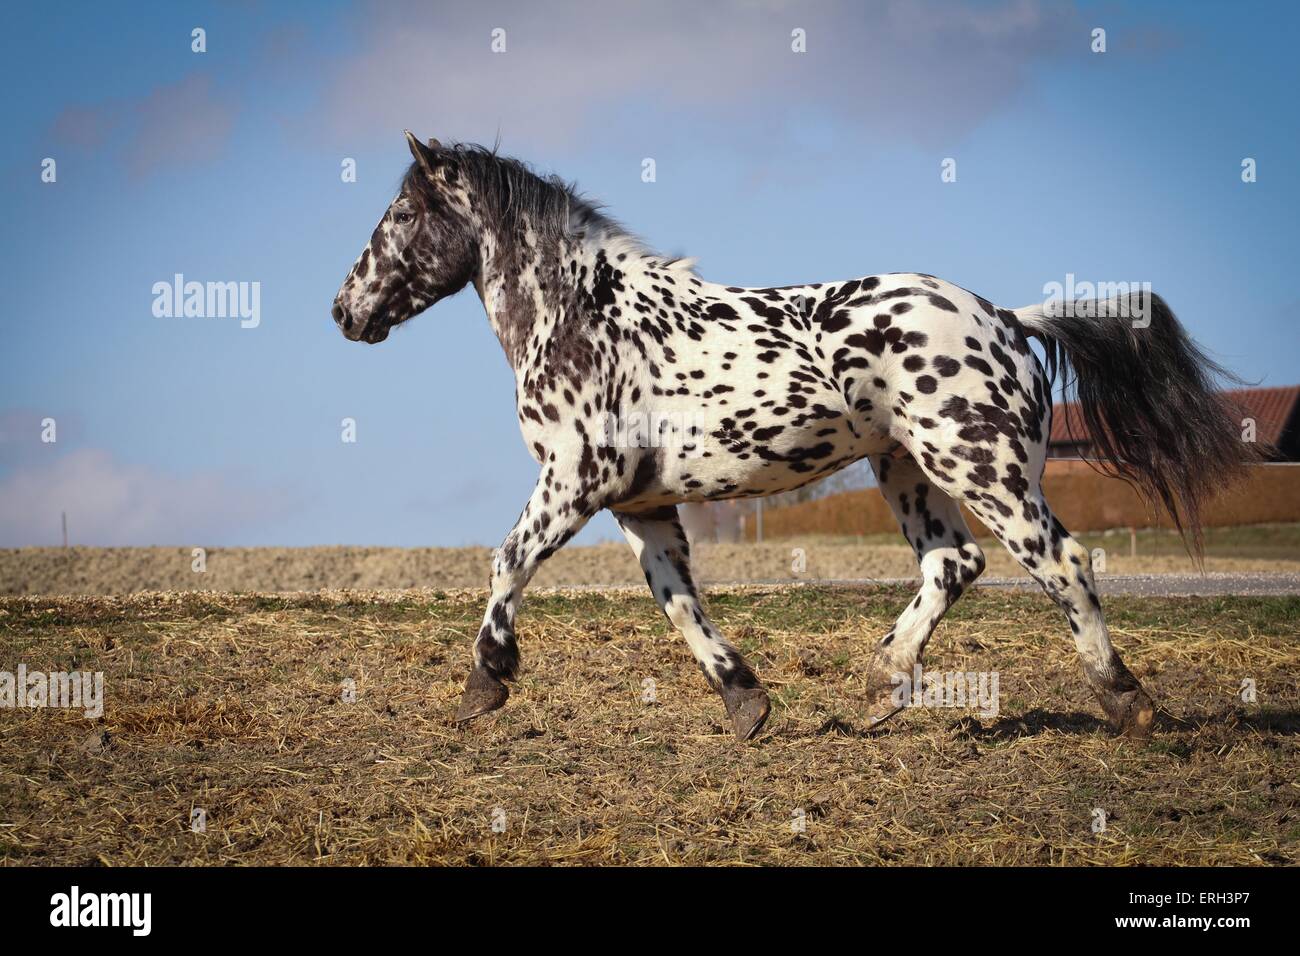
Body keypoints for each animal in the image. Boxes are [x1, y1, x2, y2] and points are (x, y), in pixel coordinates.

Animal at [332, 131, 1251, 742]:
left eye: (404, 210)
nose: (346, 310)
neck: (583, 319)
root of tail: (1006, 318)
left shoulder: (576, 480)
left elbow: (507, 562)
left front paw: (484, 684)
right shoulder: (641, 505)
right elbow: (679, 603)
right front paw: (747, 703)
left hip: (982, 466)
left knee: (1063, 562)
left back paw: (1126, 701)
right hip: (905, 469)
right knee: (953, 563)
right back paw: (882, 683)